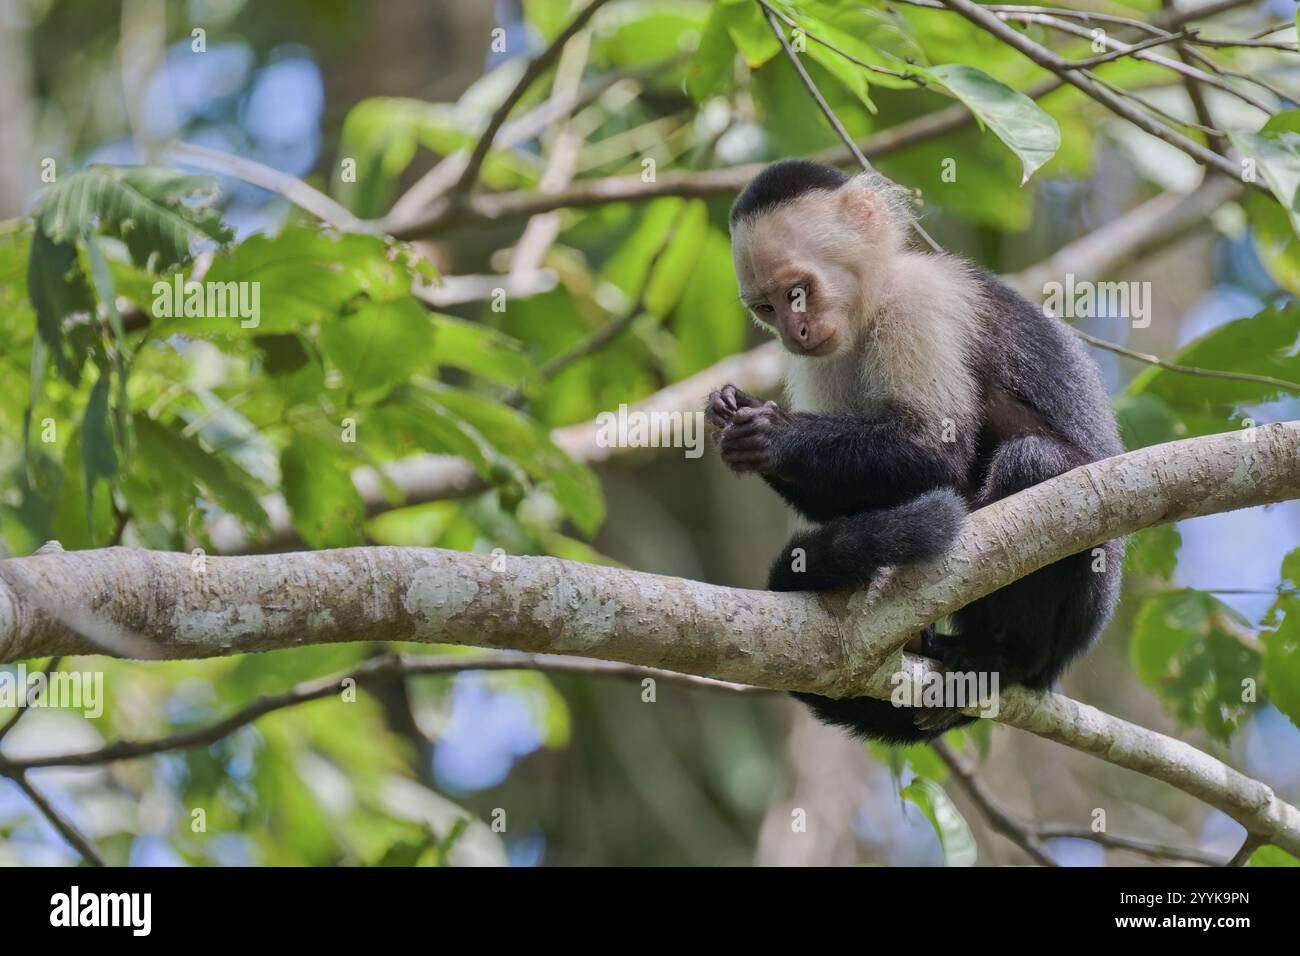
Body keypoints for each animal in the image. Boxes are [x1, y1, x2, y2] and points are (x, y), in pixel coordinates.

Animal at [707, 159, 1123, 744]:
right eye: (768, 307)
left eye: (797, 294)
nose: (795, 333)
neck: (872, 299)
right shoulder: (823, 358)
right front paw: (733, 421)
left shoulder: (918, 303)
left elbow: (938, 451)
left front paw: (772, 434)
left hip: (1087, 605)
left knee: (1035, 466)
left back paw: (1004, 659)